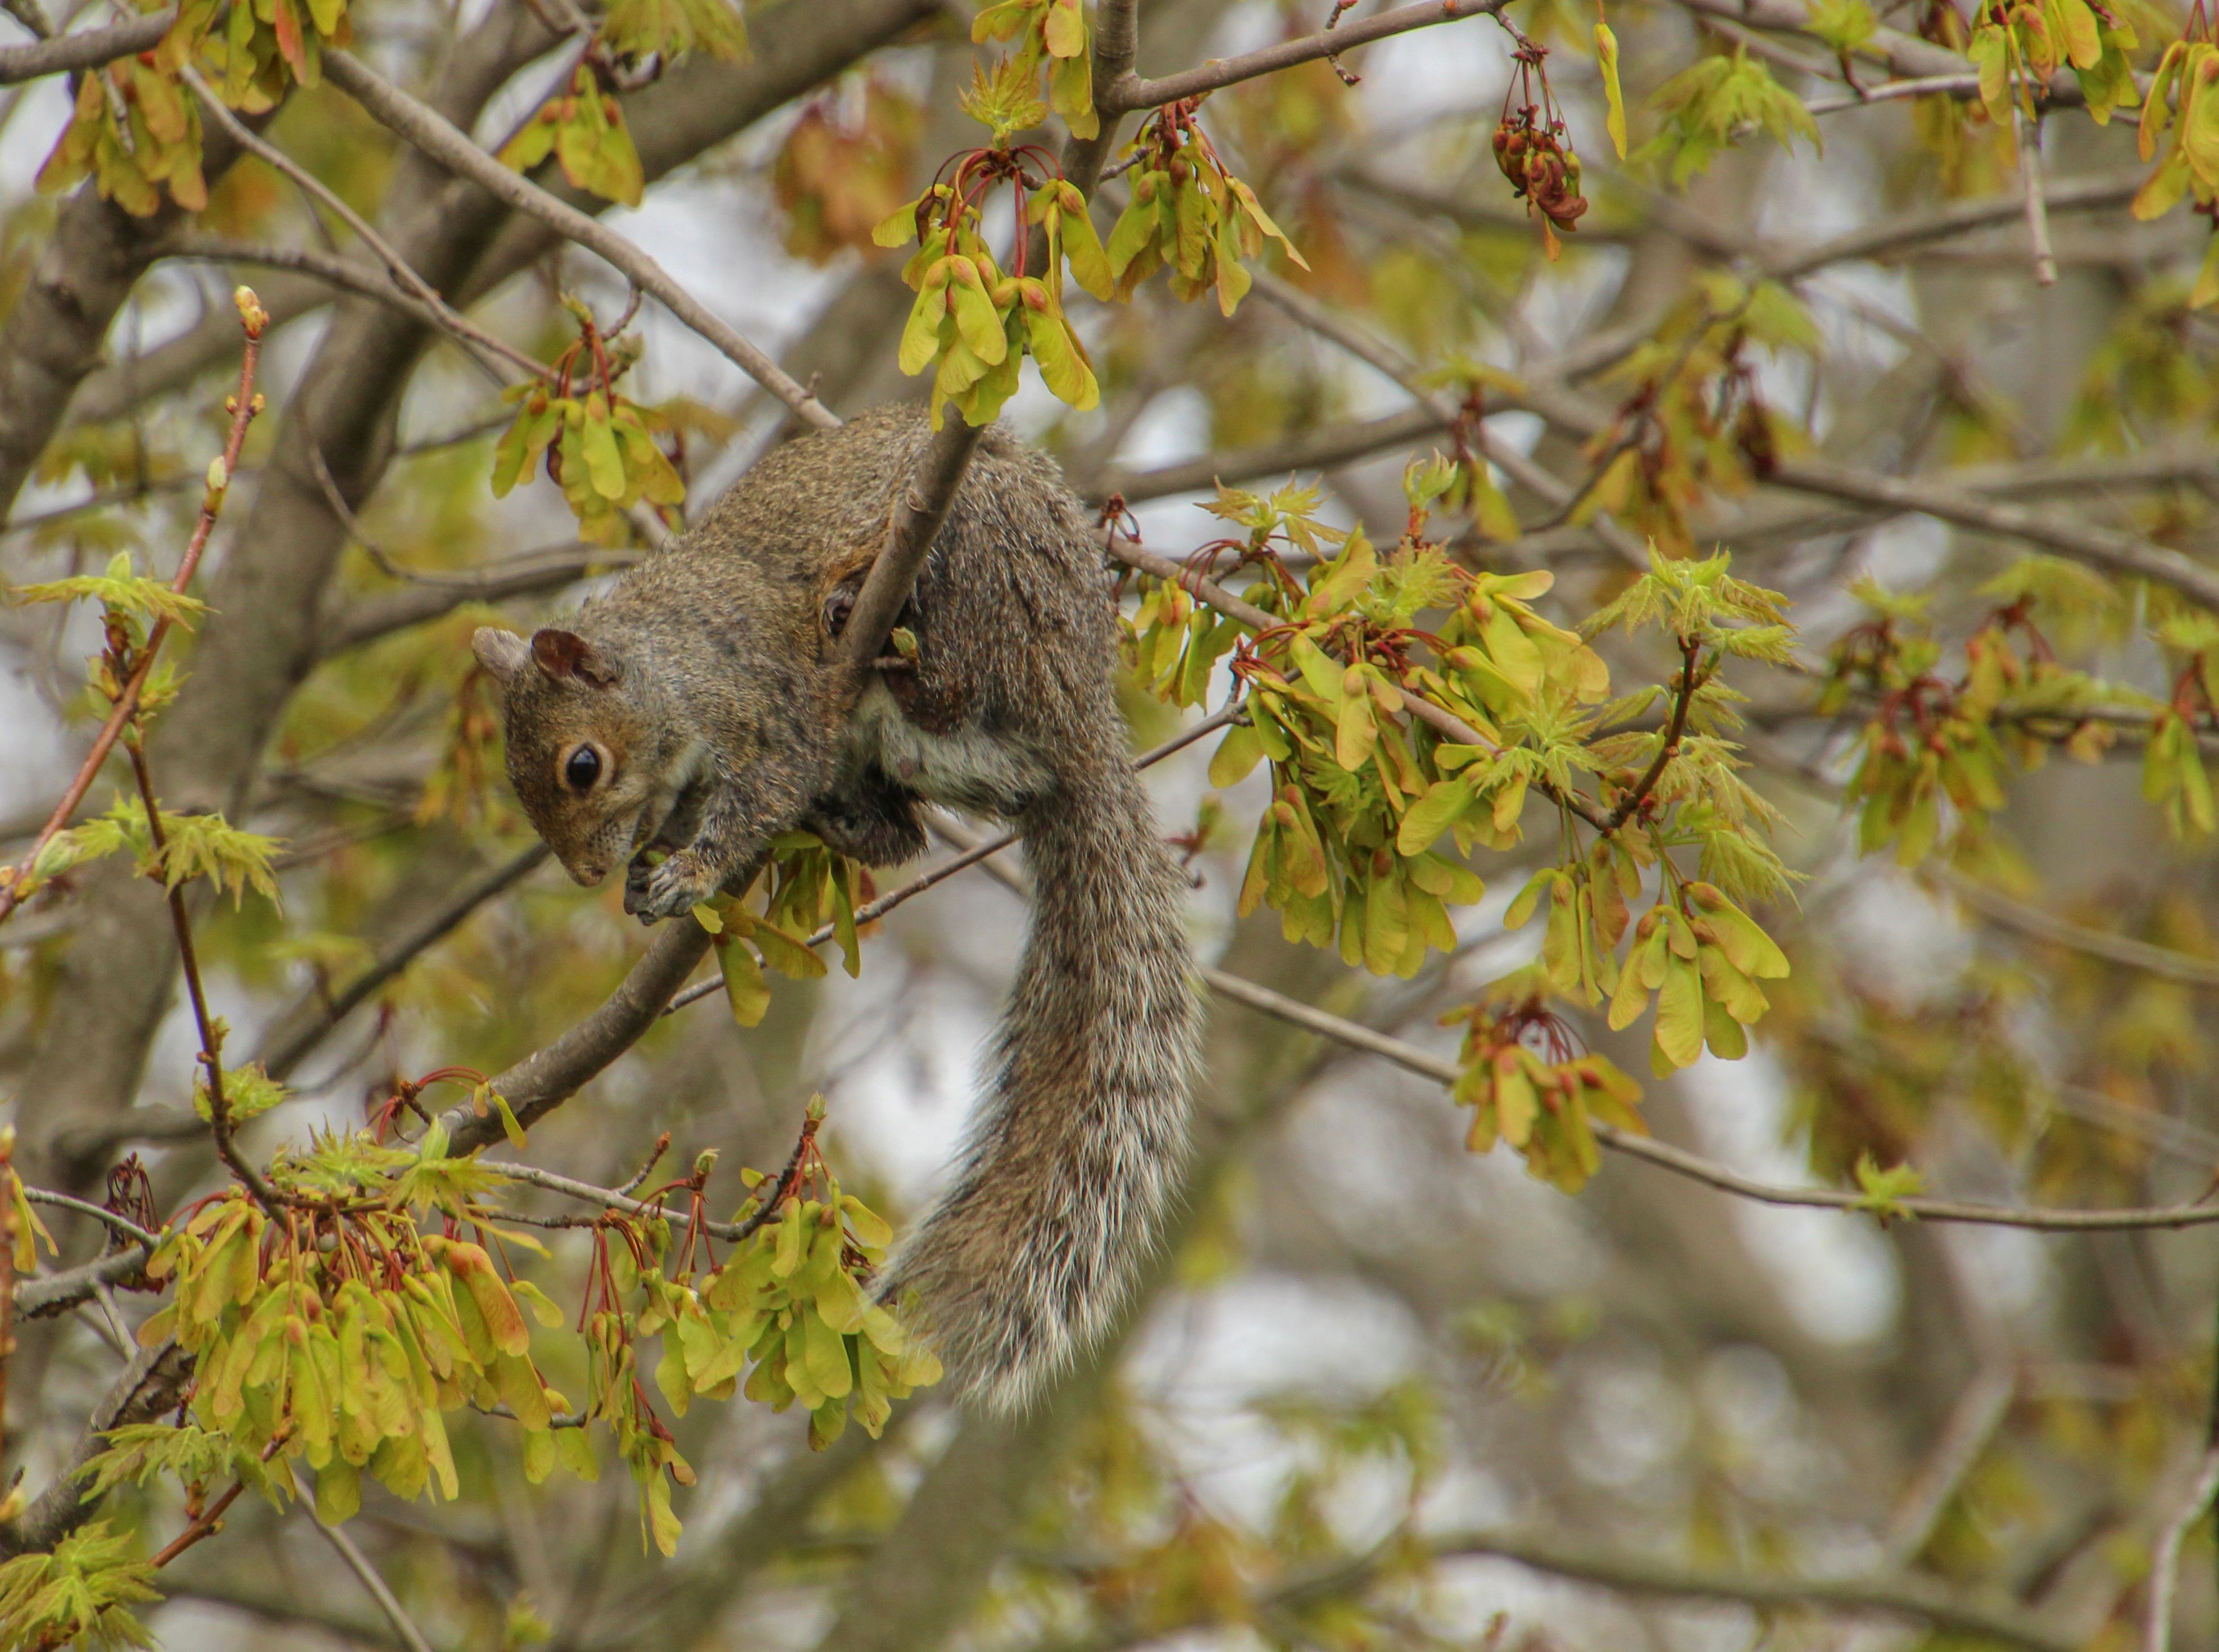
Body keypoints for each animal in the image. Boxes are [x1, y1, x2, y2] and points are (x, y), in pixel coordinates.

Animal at [471, 405, 1201, 1414]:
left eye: (583, 766)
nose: (584, 870)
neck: (670, 668)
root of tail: (1084, 722)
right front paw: (647, 876)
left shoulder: (766, 702)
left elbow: (761, 793)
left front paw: (691, 874)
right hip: (910, 755)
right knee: (911, 828)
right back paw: (845, 810)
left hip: (984, 570)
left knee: (955, 690)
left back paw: (862, 617)